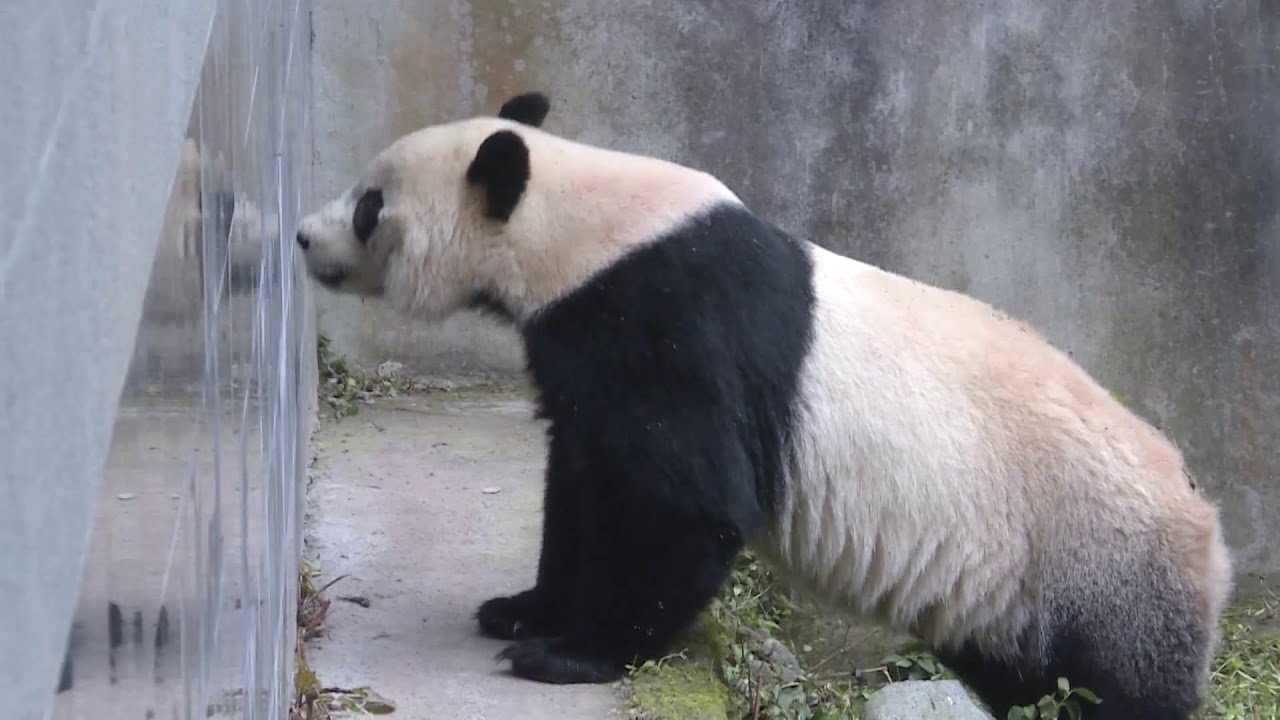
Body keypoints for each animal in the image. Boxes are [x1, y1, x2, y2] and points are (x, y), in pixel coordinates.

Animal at [295, 91, 1233, 720]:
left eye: (371, 206)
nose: (303, 237)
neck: (580, 225)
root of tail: (1213, 535)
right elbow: (584, 478)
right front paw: (523, 608)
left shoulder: (673, 319)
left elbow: (680, 501)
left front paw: (570, 653)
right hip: (1012, 602)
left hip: (1099, 572)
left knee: (1117, 691)